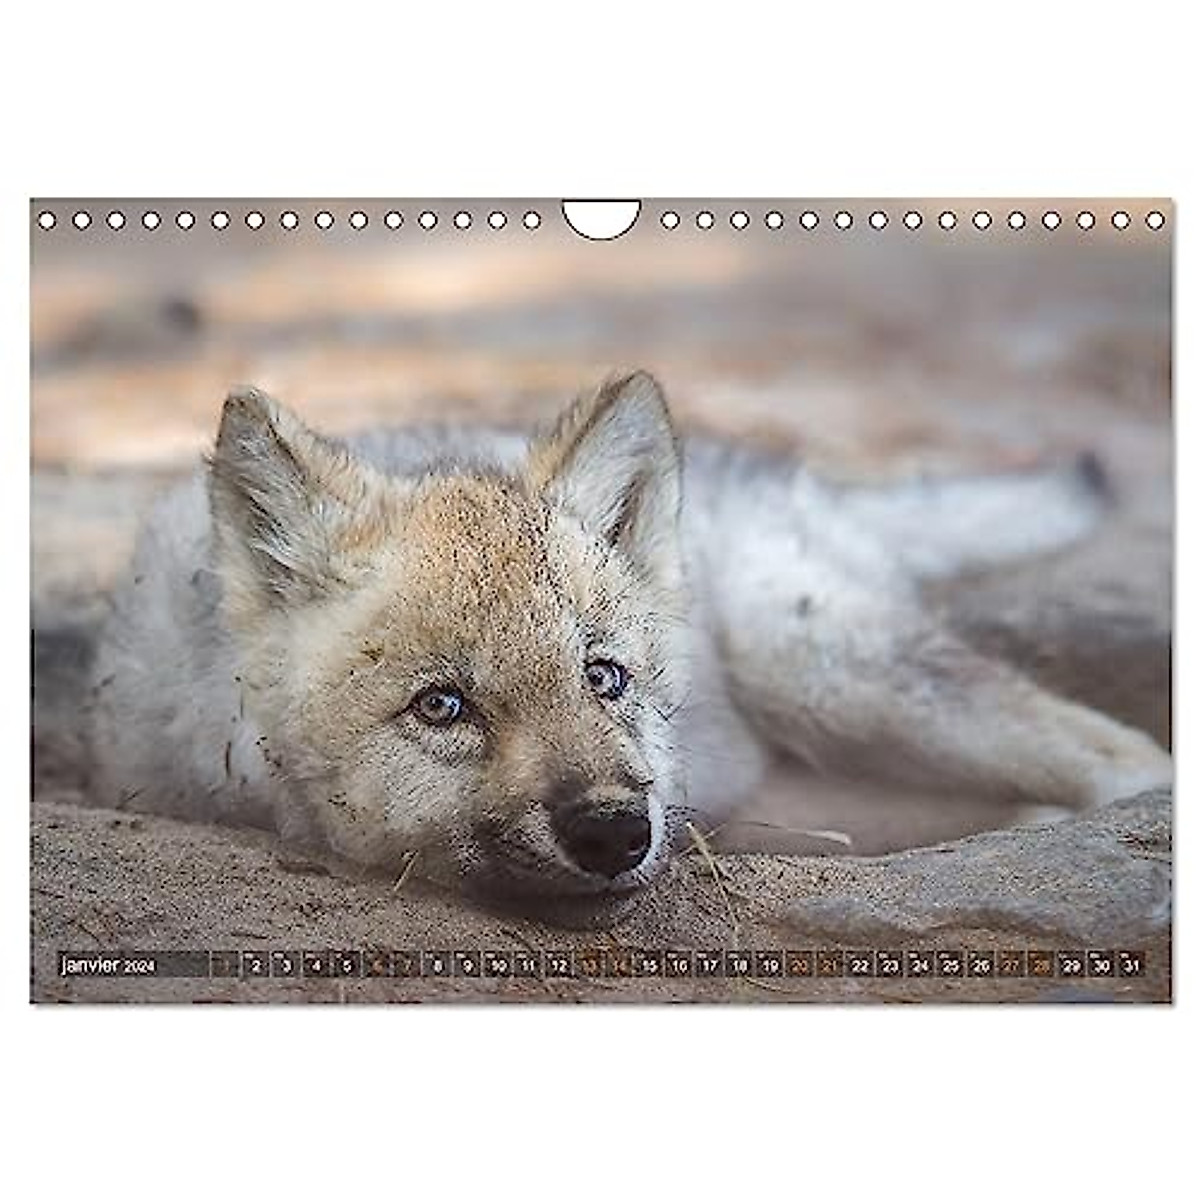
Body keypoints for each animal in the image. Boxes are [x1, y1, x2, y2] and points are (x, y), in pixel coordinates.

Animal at [88, 372, 1171, 919]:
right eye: (443, 705)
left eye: (602, 677)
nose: (617, 833)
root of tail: (786, 476)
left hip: (835, 679)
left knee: (1129, 755)